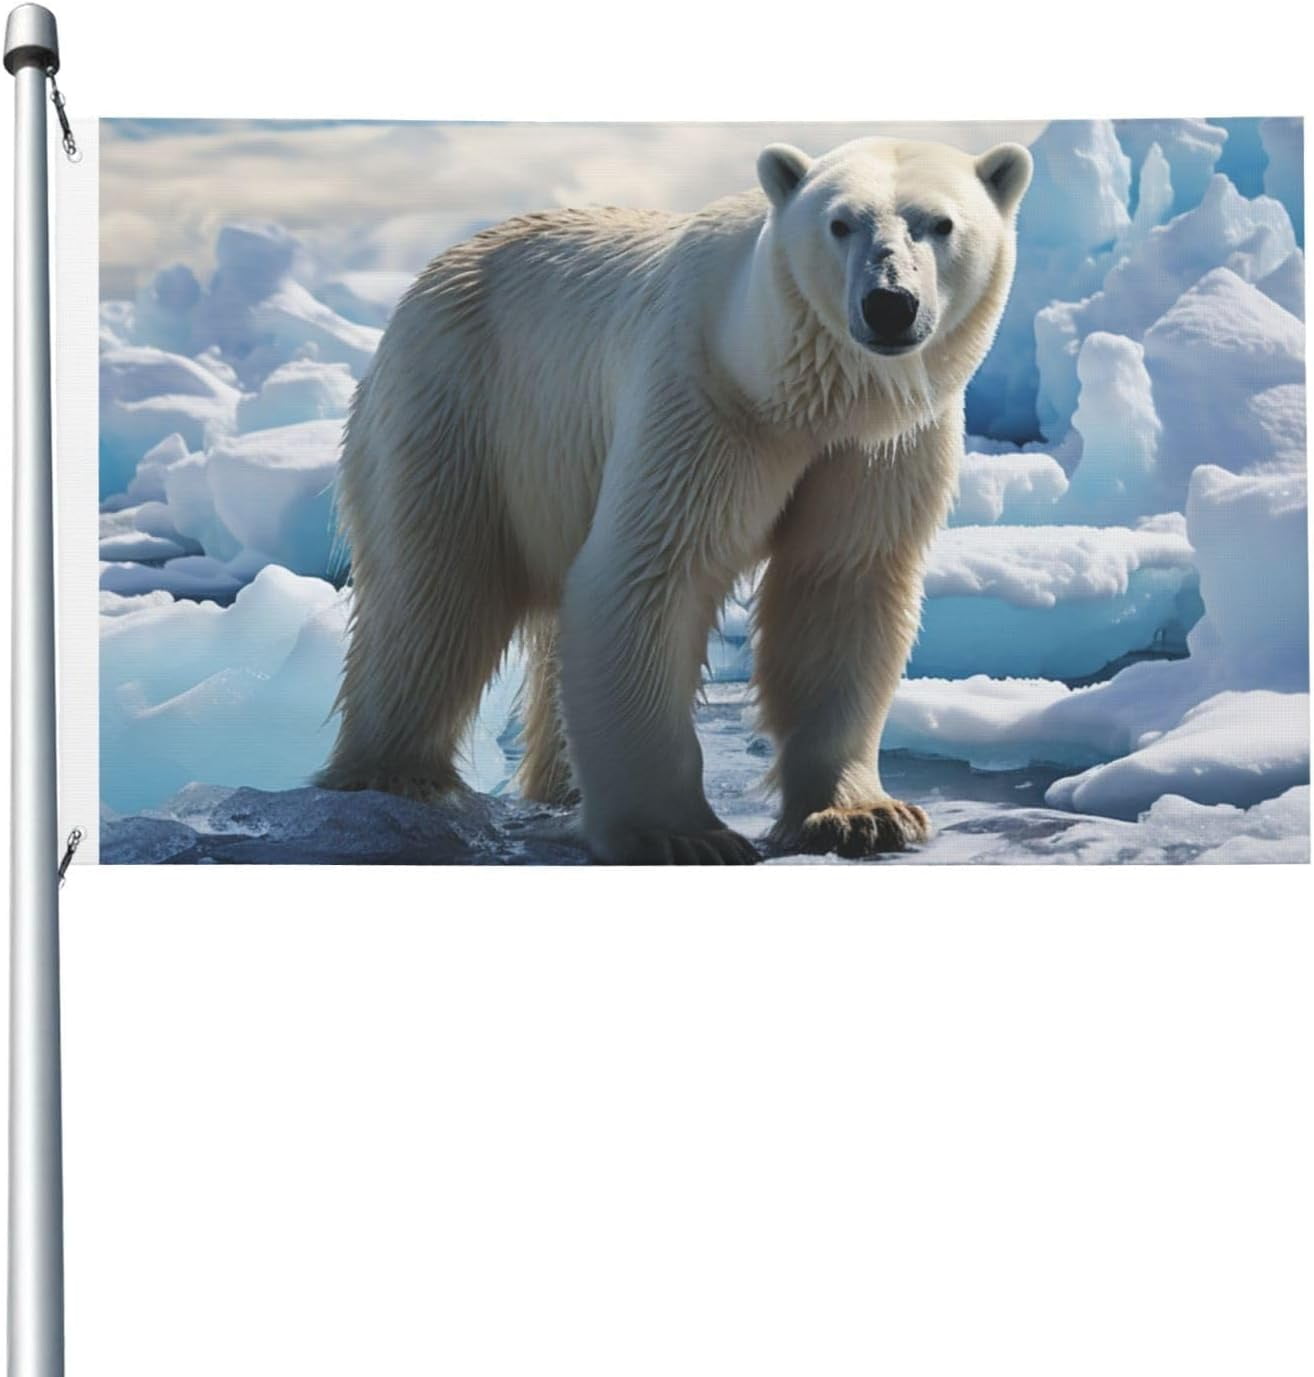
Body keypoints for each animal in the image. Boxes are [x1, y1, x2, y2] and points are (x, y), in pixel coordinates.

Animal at [316, 135, 1032, 864]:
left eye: (939, 223)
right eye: (840, 223)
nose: (890, 303)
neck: (790, 387)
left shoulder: (878, 447)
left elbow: (842, 582)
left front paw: (863, 815)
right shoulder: (703, 398)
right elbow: (651, 572)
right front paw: (681, 833)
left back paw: (557, 785)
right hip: (457, 404)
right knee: (434, 592)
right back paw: (396, 776)